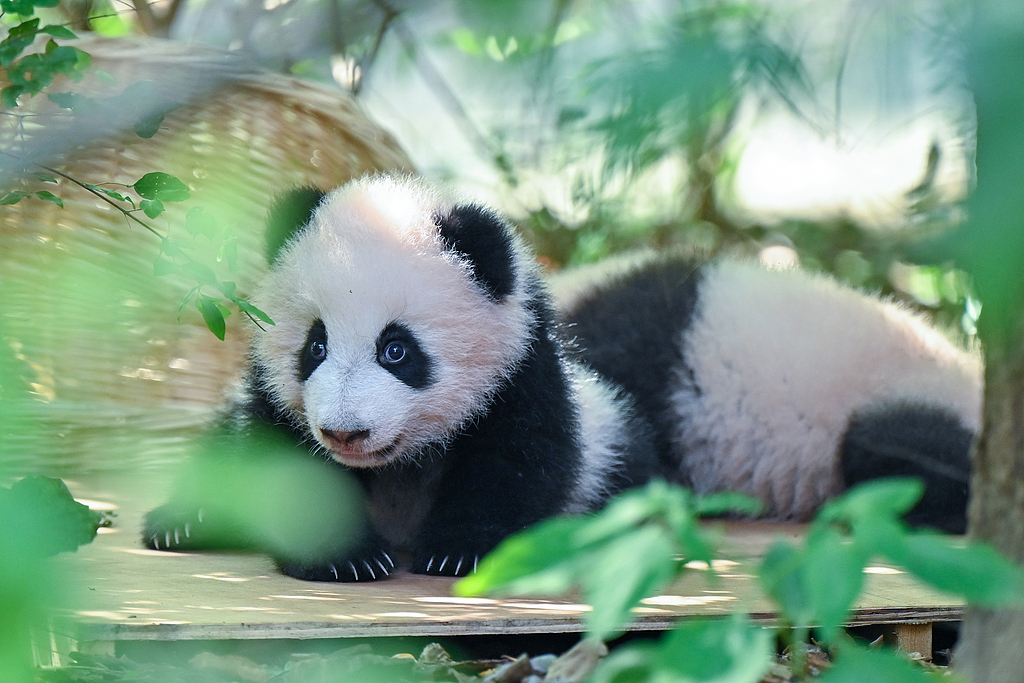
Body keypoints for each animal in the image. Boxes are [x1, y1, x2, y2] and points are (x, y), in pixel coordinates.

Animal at [143, 174, 656, 581]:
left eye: (396, 351)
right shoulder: (273, 396)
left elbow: (518, 458)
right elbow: (284, 465)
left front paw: (459, 553)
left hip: (607, 445)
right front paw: (344, 560)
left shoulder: (521, 372)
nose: (344, 433)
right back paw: (181, 524)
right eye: (316, 346)